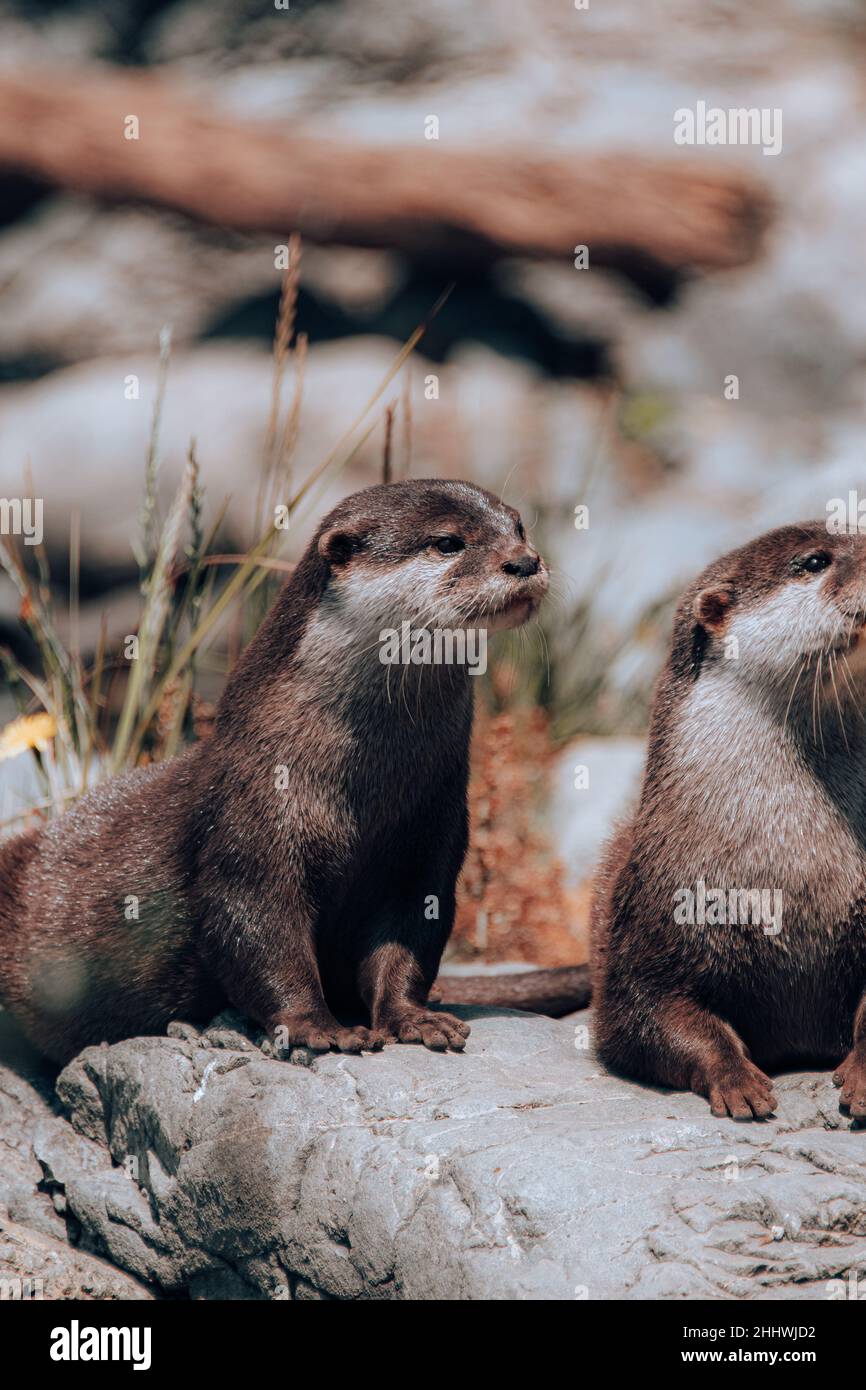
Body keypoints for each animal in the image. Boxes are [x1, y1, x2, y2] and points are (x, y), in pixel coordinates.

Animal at [0, 479, 548, 1064]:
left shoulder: (431, 832)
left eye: (519, 527)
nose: (525, 561)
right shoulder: (250, 821)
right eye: (447, 542)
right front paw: (319, 1027)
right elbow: (260, 934)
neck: (360, 791)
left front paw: (414, 1018)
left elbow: (410, 937)